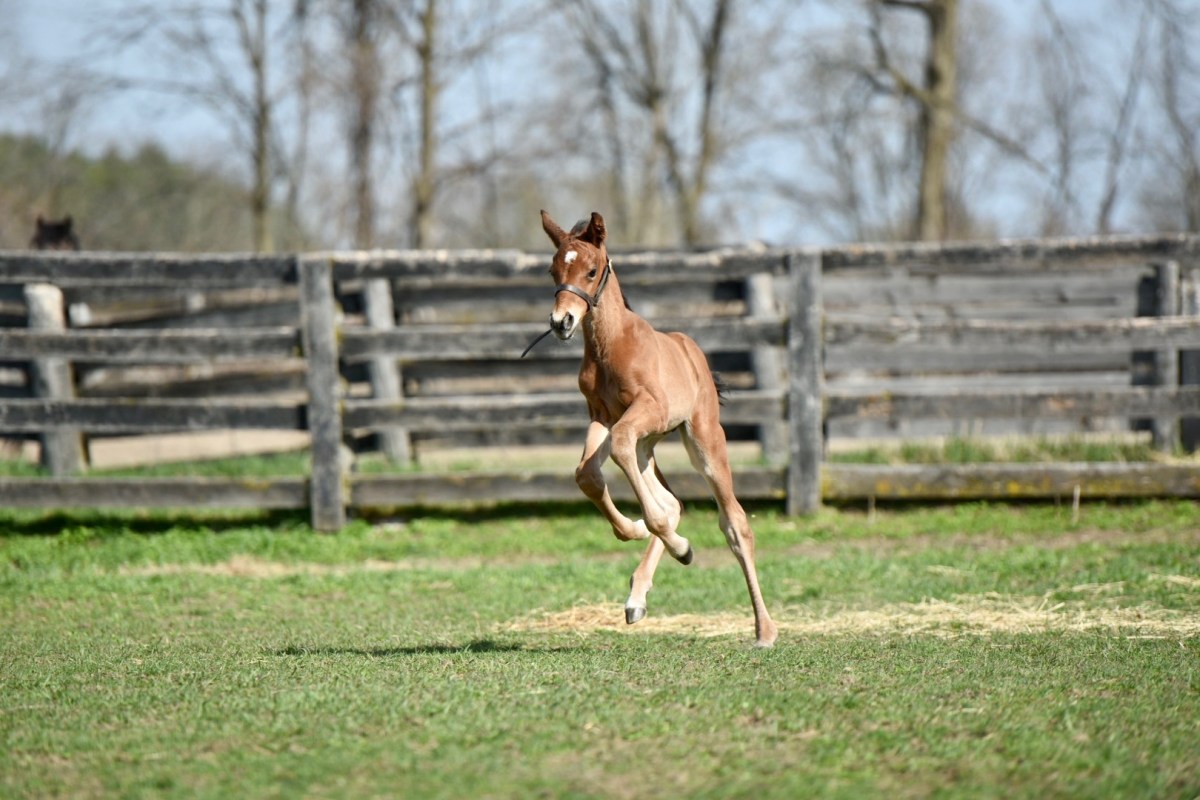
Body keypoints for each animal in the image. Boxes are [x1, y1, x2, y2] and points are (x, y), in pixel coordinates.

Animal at [538, 210, 778, 648]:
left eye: (591, 270)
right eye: (553, 270)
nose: (562, 322)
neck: (610, 347)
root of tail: (693, 351)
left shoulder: (646, 410)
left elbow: (622, 463)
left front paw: (677, 544)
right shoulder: (602, 416)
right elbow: (587, 474)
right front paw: (638, 530)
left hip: (701, 438)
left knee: (734, 522)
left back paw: (764, 630)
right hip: (648, 445)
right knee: (671, 499)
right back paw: (639, 596)